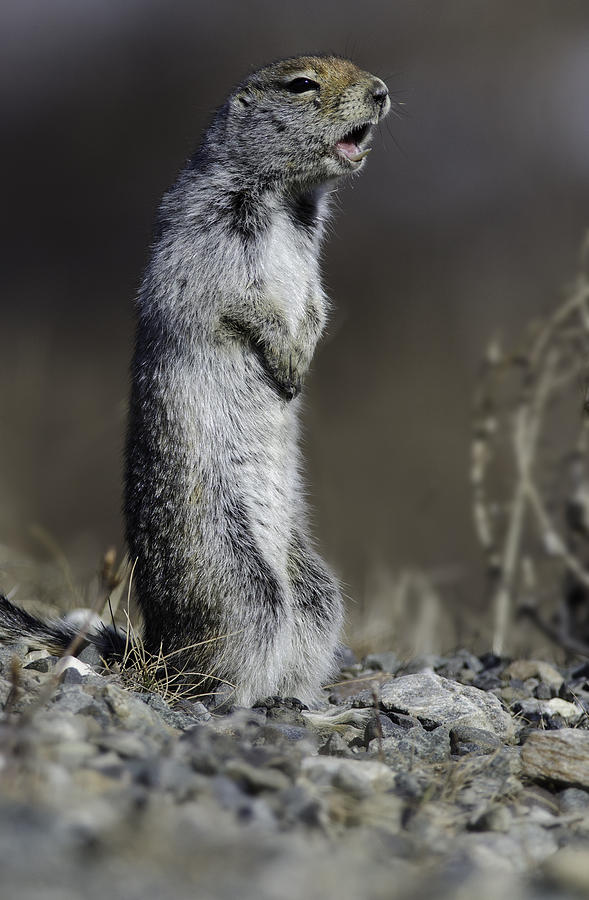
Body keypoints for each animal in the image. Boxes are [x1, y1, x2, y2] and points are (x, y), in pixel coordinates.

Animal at [0, 55, 390, 707]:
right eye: (302, 85)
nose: (381, 92)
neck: (290, 203)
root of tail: (153, 646)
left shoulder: (311, 268)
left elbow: (315, 303)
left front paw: (302, 355)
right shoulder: (209, 237)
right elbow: (234, 300)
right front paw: (285, 359)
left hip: (313, 589)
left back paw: (300, 699)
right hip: (240, 580)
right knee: (213, 667)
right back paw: (240, 699)